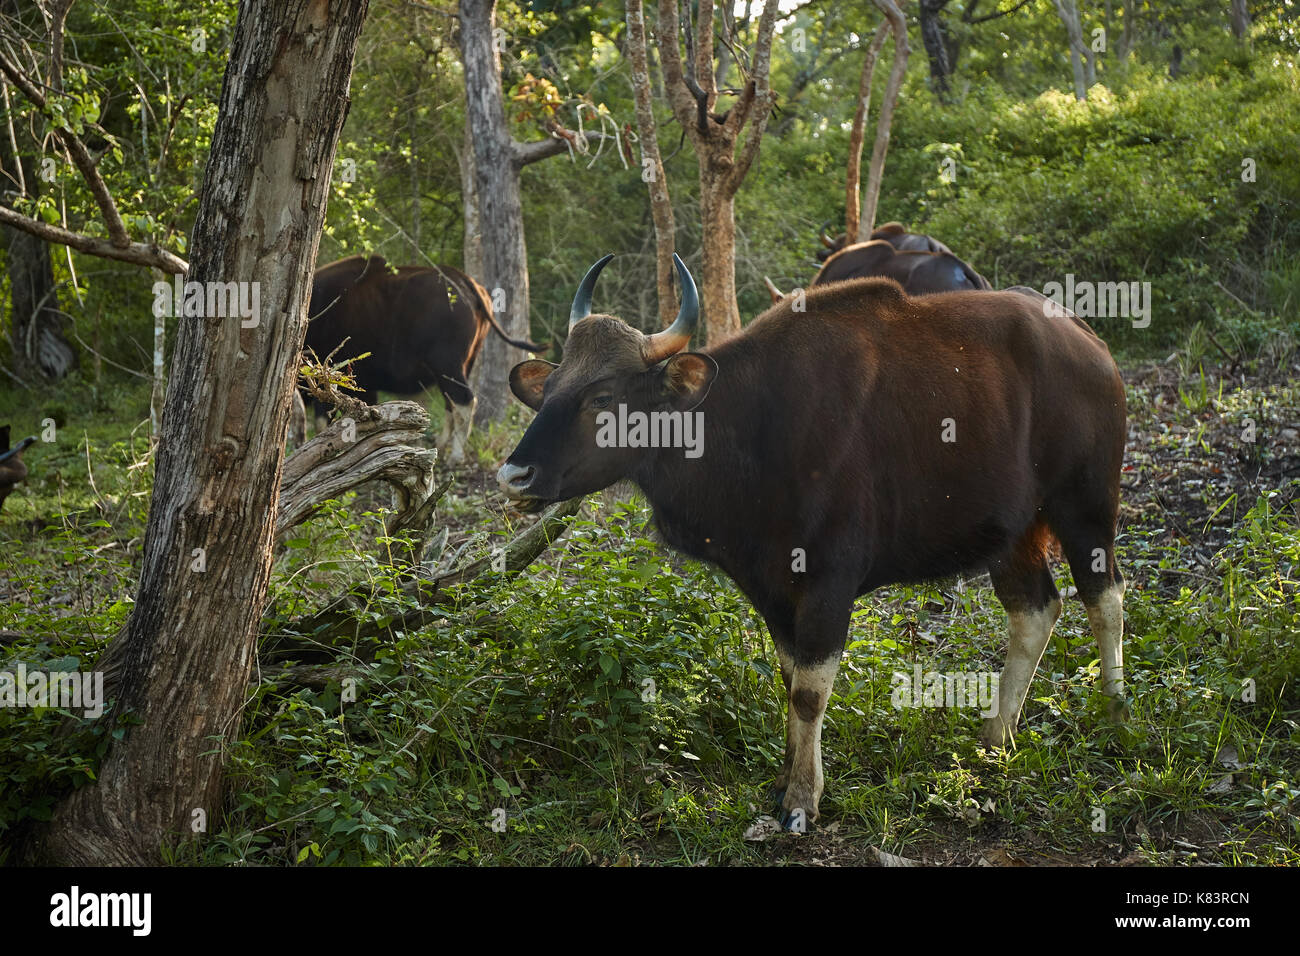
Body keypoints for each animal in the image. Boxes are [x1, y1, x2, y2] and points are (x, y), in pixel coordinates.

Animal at [304, 255, 543, 463]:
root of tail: (464, 282)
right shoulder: (365, 385)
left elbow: (324, 422)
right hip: (463, 365)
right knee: (451, 402)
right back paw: (442, 444)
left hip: (447, 364)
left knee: (464, 401)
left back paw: (456, 454)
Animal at [498, 255, 1128, 828]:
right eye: (550, 390)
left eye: (602, 397)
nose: (514, 476)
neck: (752, 429)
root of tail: (1090, 343)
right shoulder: (772, 586)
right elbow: (788, 678)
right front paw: (782, 782)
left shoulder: (831, 579)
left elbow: (809, 692)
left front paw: (803, 800)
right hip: (1013, 530)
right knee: (1035, 609)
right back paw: (996, 735)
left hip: (1086, 506)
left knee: (1106, 599)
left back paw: (1116, 719)